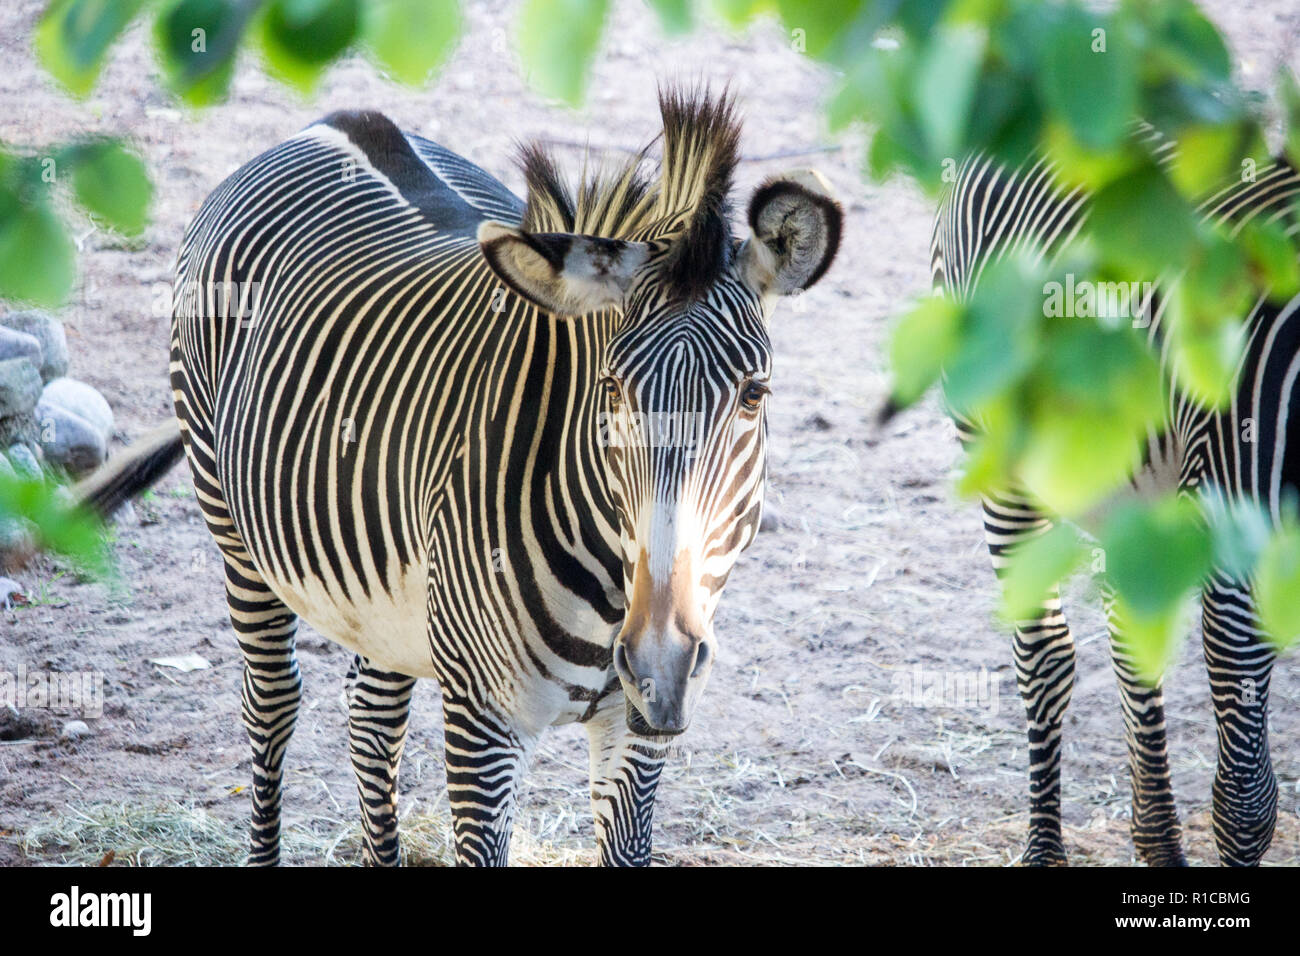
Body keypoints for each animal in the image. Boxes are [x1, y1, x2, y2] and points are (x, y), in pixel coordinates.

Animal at [83, 89, 843, 866]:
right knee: (271, 703)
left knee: (370, 715)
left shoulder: (632, 731)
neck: (611, 591)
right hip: (234, 528)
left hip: (389, 585)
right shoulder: (483, 723)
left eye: (754, 394)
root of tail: (333, 121)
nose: (661, 668)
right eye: (611, 391)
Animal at [930, 146, 1300, 865]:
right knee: (1045, 655)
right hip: (998, 447)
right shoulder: (1240, 544)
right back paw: (1047, 850)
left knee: (1128, 637)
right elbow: (1244, 803)